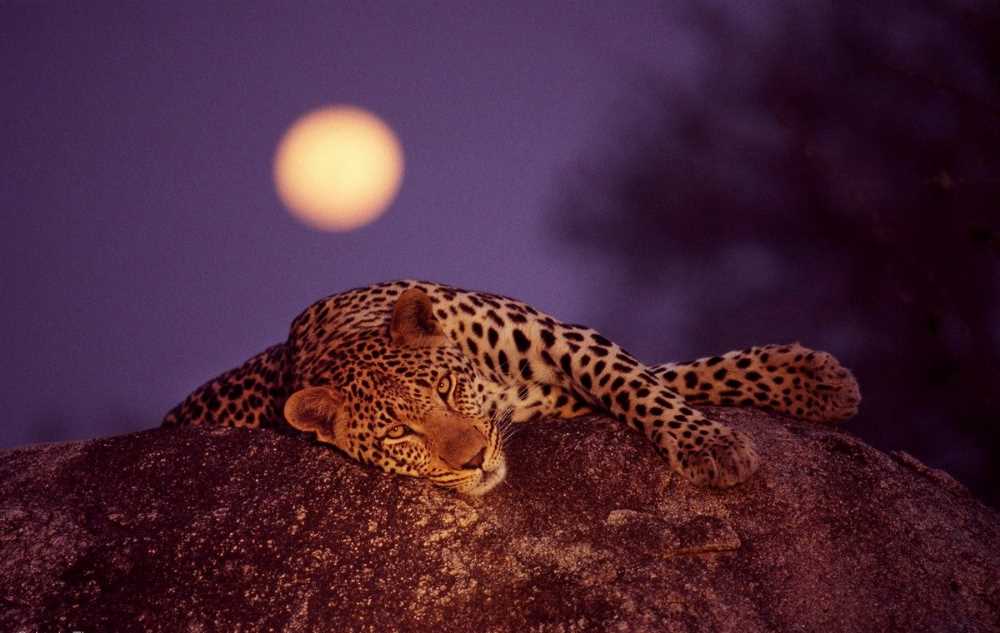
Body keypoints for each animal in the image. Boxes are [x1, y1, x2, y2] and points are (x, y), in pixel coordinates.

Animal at [162, 280, 860, 495]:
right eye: (400, 433)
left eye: (447, 390)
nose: (474, 459)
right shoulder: (548, 400)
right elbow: (663, 379)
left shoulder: (566, 345)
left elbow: (652, 381)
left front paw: (807, 384)